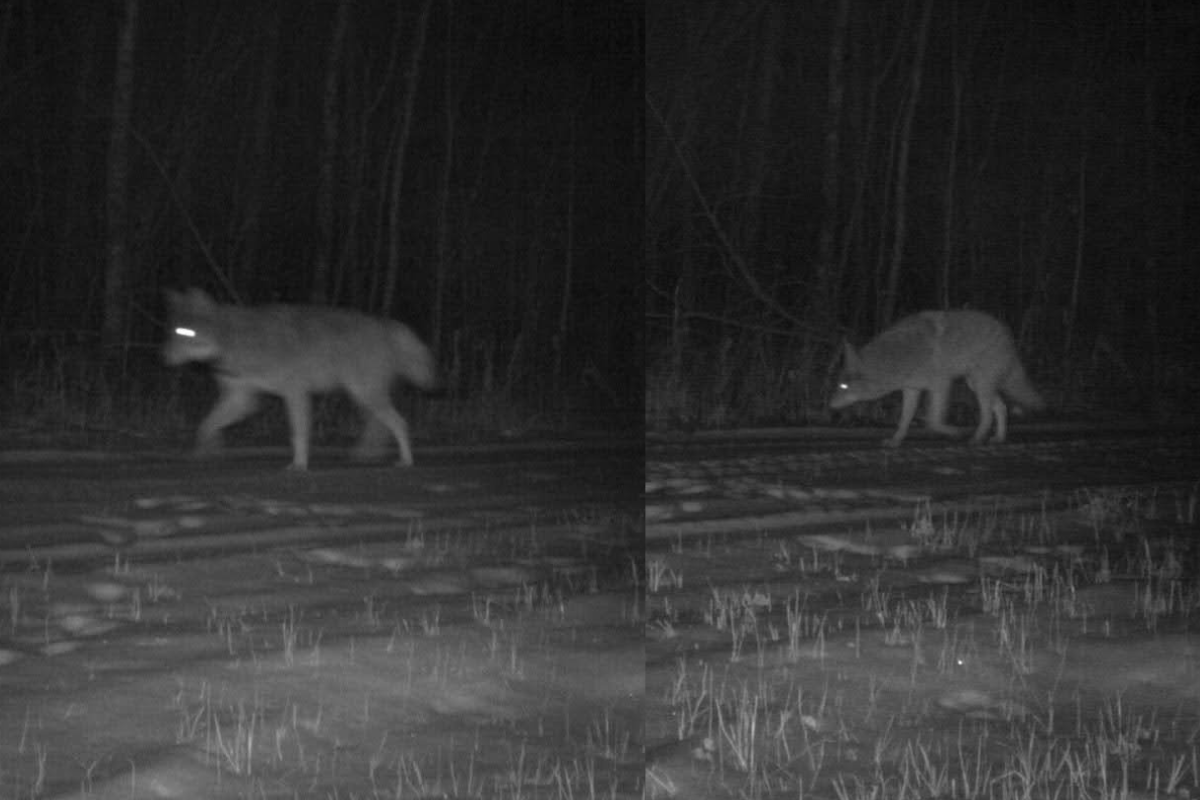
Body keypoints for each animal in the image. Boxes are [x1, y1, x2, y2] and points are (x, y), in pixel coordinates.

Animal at [163, 288, 437, 470]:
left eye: (187, 333)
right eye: (174, 331)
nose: (163, 356)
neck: (235, 340)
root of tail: (386, 324)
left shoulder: (294, 393)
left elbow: (299, 432)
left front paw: (299, 465)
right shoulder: (242, 399)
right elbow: (207, 425)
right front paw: (205, 451)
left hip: (365, 394)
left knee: (399, 423)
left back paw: (405, 461)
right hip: (363, 397)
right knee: (379, 426)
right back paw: (365, 456)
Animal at [829, 310, 1044, 447]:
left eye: (843, 386)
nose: (830, 406)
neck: (900, 356)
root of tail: (1008, 334)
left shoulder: (941, 385)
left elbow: (932, 421)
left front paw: (955, 432)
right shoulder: (912, 390)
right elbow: (904, 420)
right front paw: (896, 441)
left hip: (981, 385)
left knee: (987, 415)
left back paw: (976, 438)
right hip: (976, 384)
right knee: (1001, 407)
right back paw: (998, 439)